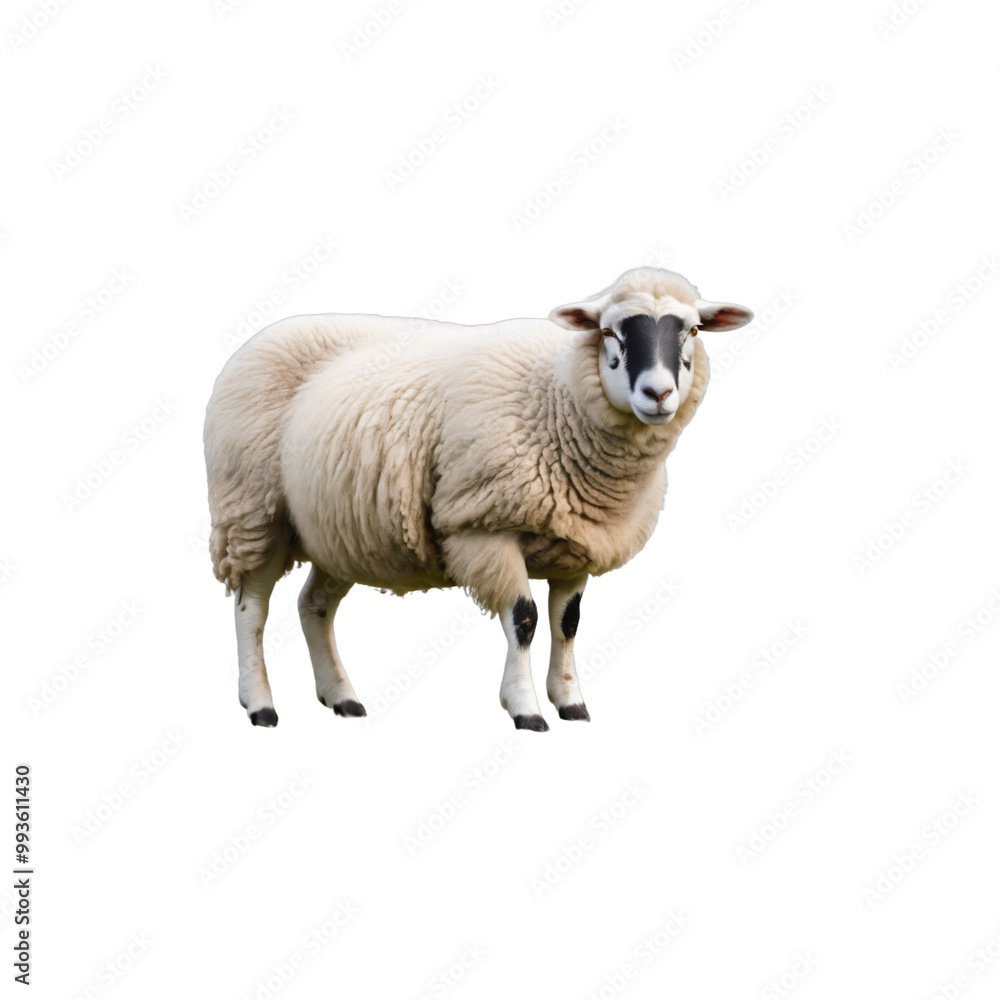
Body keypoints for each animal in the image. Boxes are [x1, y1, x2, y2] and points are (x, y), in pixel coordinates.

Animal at [204, 267, 752, 730]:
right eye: (610, 331)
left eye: (694, 331)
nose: (658, 394)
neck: (557, 396)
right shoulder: (483, 530)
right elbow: (525, 620)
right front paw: (525, 708)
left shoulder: (577, 543)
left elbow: (568, 625)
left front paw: (571, 701)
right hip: (251, 511)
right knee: (252, 609)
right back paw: (260, 704)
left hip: (338, 530)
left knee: (313, 605)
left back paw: (341, 697)